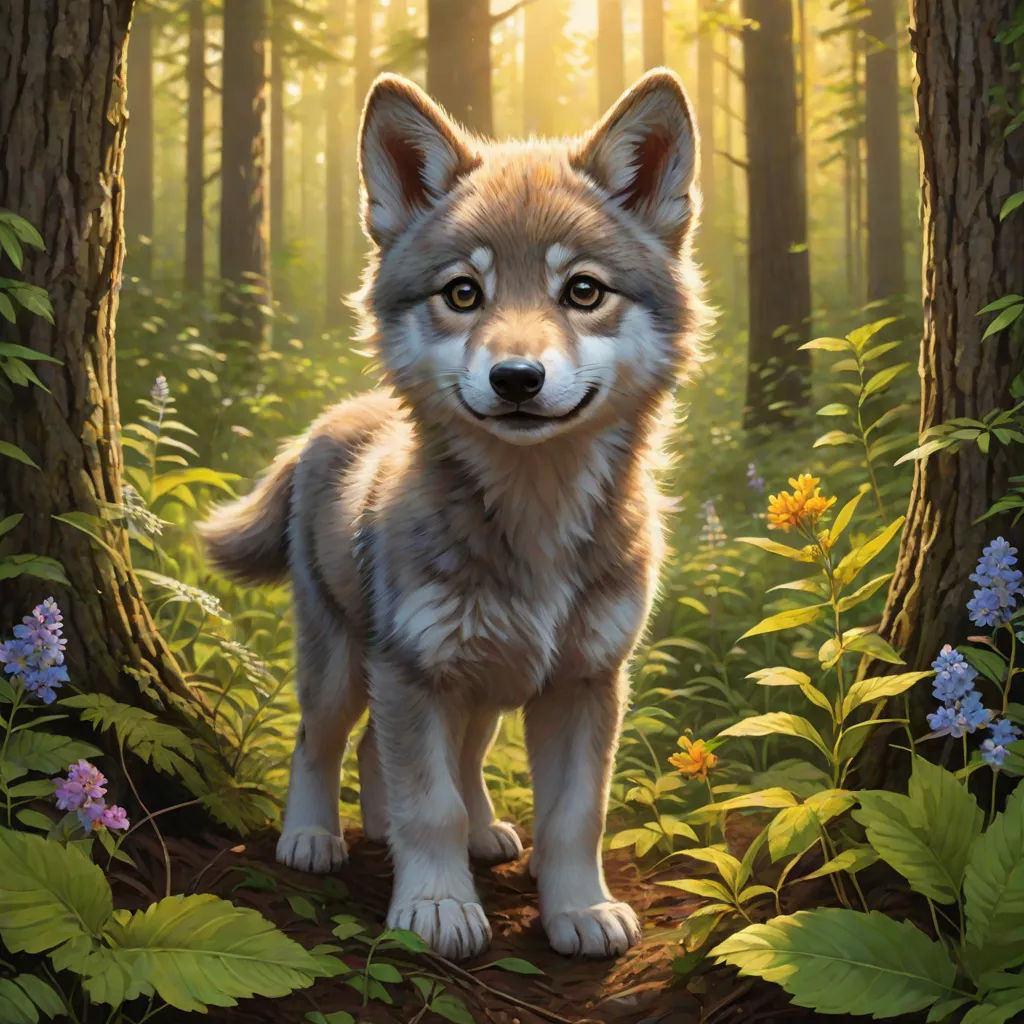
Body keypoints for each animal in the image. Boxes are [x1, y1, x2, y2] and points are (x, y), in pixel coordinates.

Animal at [200, 68, 704, 961]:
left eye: (582, 291)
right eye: (463, 293)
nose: (516, 378)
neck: (535, 516)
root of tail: (330, 420)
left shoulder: (585, 682)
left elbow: (575, 816)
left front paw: (579, 910)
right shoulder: (414, 669)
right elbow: (426, 801)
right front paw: (436, 907)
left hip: (485, 688)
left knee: (437, 758)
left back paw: (474, 832)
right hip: (344, 662)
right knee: (323, 741)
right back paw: (314, 836)